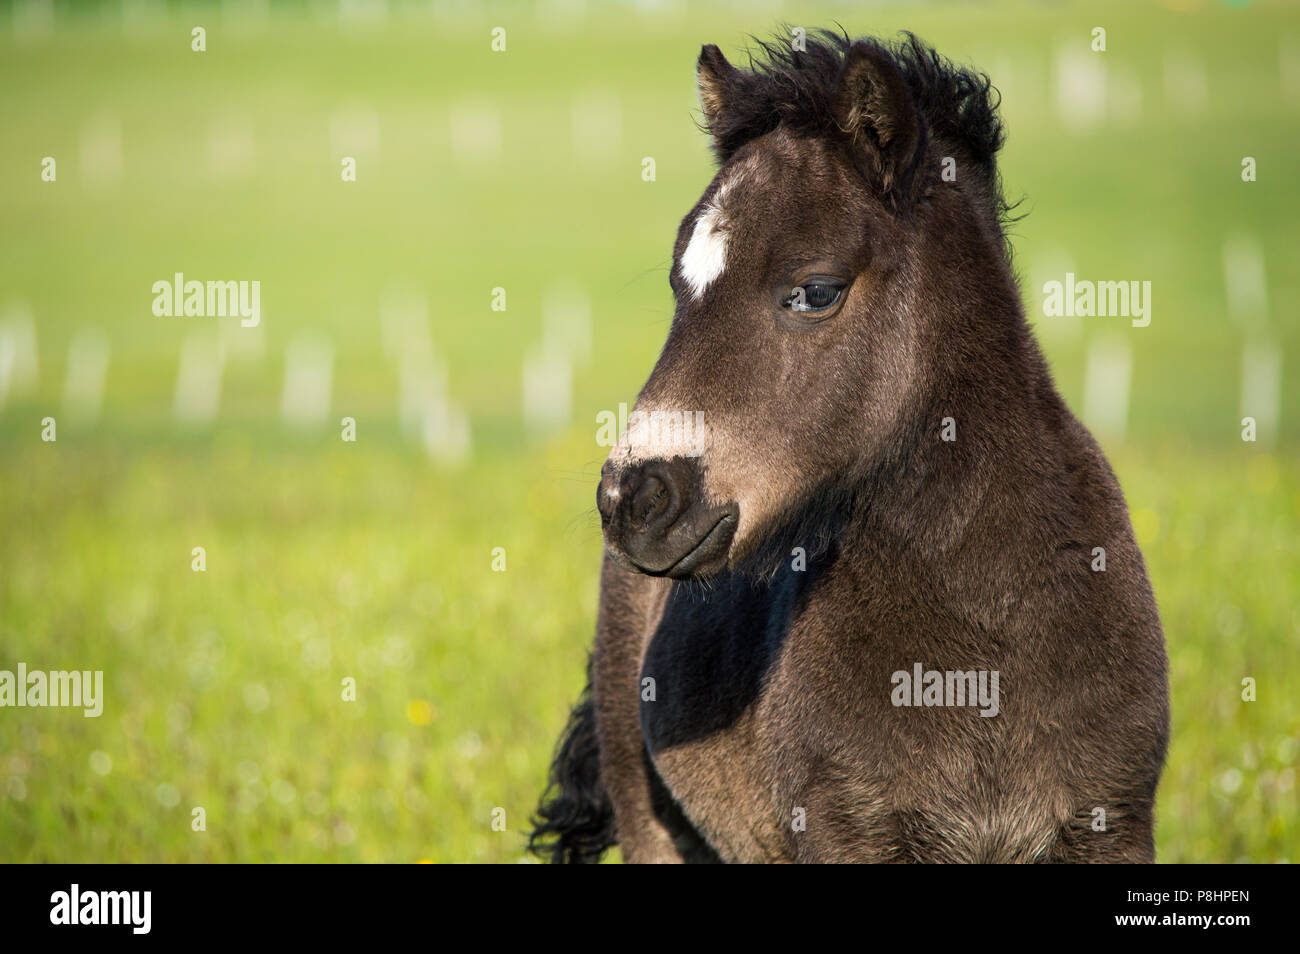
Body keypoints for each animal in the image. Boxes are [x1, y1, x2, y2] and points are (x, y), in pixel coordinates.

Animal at [529, 30, 1169, 863]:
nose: (633, 498)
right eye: (678, 284)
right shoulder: (843, 831)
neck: (985, 644)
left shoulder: (1108, 823)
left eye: (816, 290)